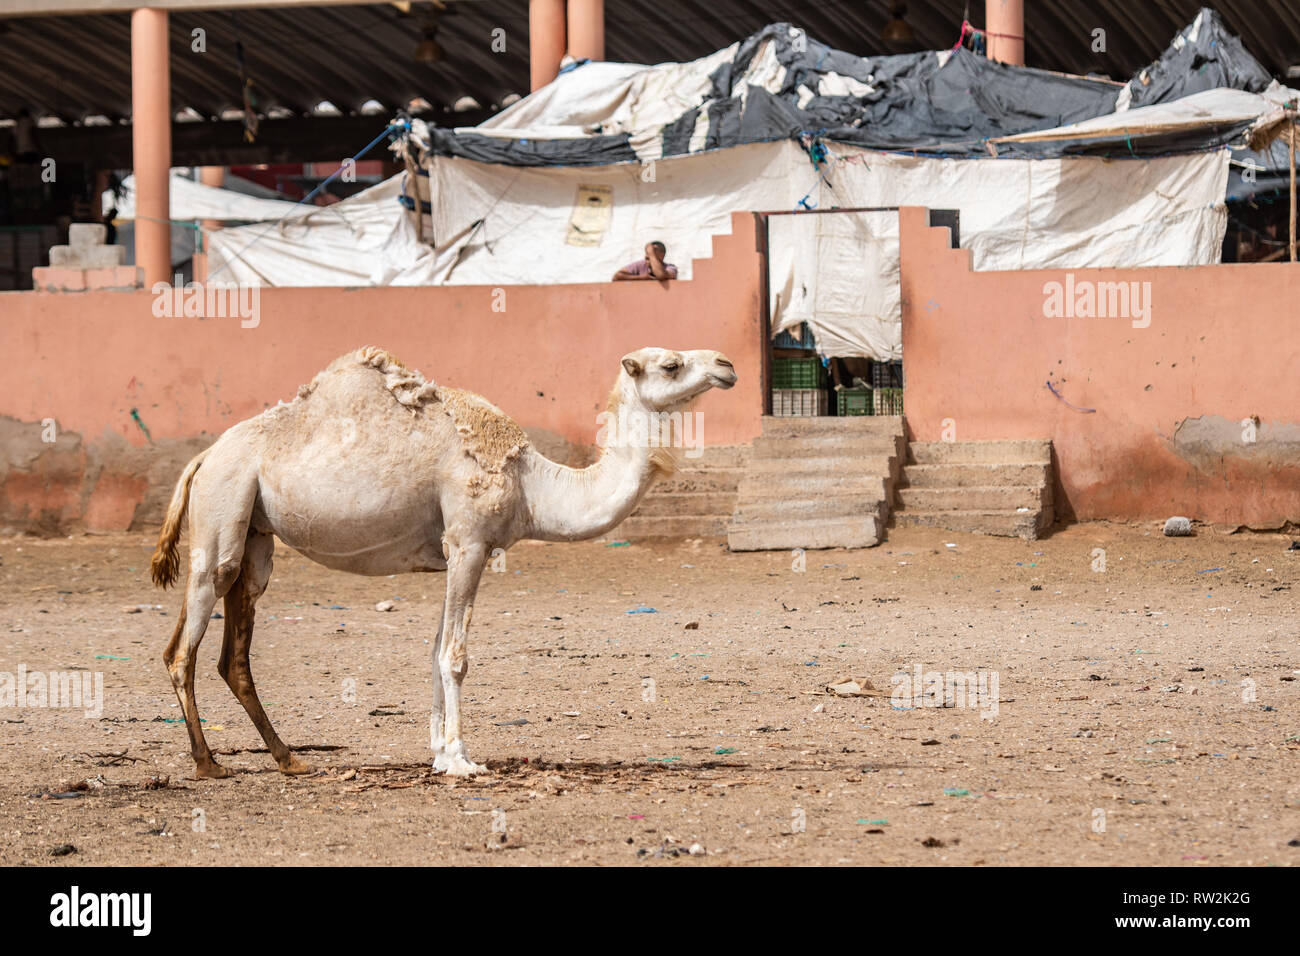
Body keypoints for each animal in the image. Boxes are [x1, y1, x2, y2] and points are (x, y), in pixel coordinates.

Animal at [150, 346, 736, 777]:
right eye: (671, 364)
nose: (726, 364)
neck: (531, 485)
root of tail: (205, 456)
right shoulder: (469, 543)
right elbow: (455, 656)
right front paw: (461, 761)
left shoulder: (454, 553)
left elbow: (434, 650)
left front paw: (438, 755)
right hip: (222, 508)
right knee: (184, 645)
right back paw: (208, 764)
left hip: (254, 533)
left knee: (234, 647)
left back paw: (289, 758)